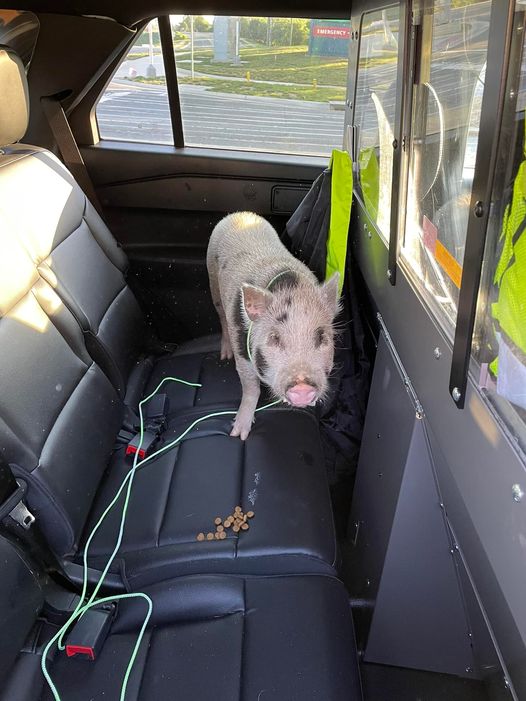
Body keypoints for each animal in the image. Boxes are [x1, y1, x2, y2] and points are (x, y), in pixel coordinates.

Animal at [207, 211, 341, 440]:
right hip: (212, 277)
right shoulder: (243, 352)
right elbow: (251, 388)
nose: (302, 386)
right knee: (221, 316)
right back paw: (224, 355)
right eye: (274, 338)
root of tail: (239, 214)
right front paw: (238, 435)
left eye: (322, 337)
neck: (291, 288)